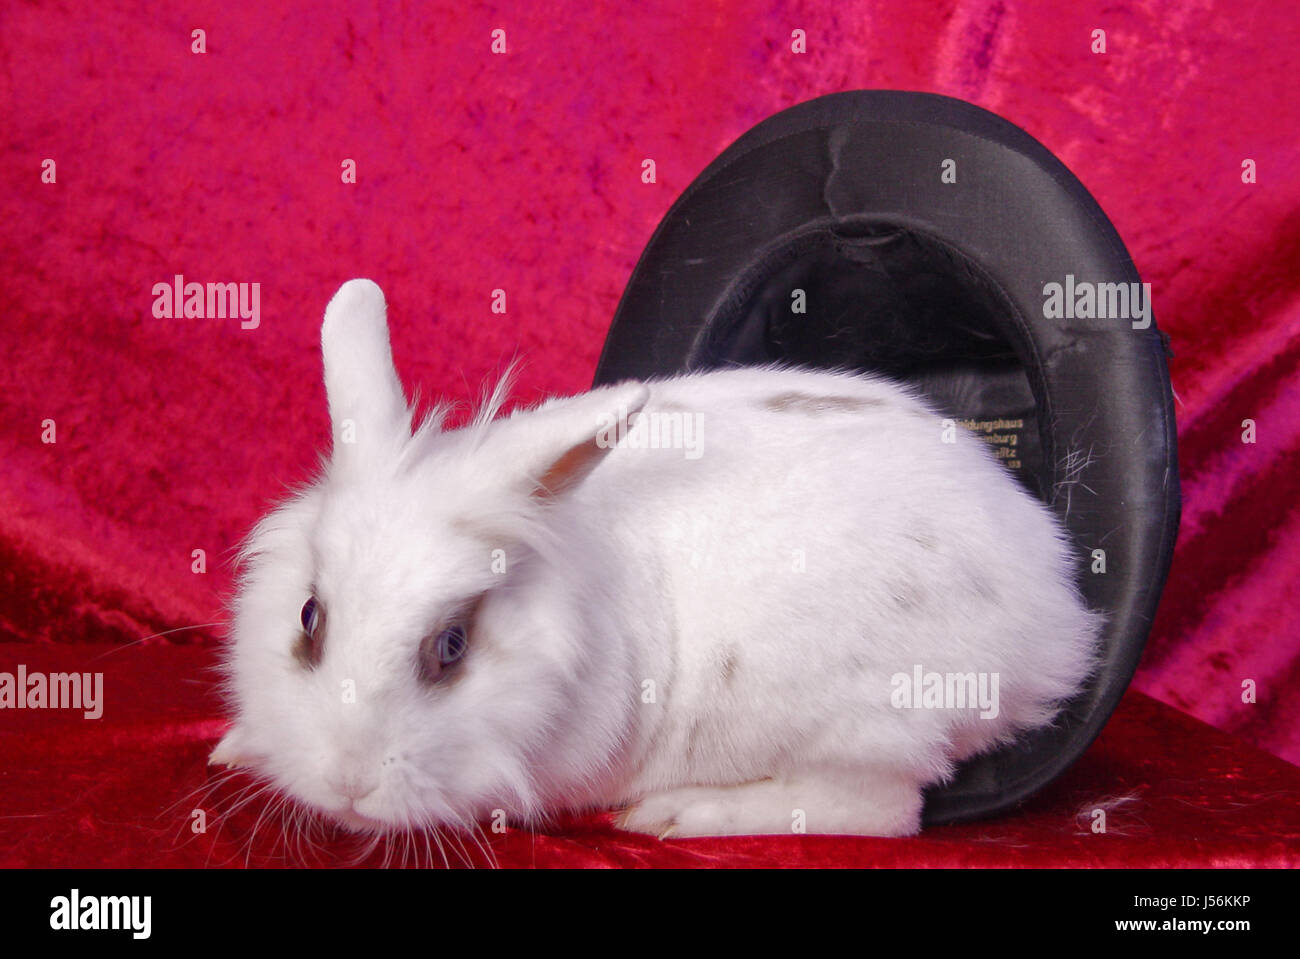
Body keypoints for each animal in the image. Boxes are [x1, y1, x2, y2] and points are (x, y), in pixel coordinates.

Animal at [209, 277, 1101, 840]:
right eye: (309, 617)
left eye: (453, 645)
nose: (348, 780)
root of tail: (1057, 611)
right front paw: (237, 746)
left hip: (859, 726)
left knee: (886, 811)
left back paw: (688, 814)